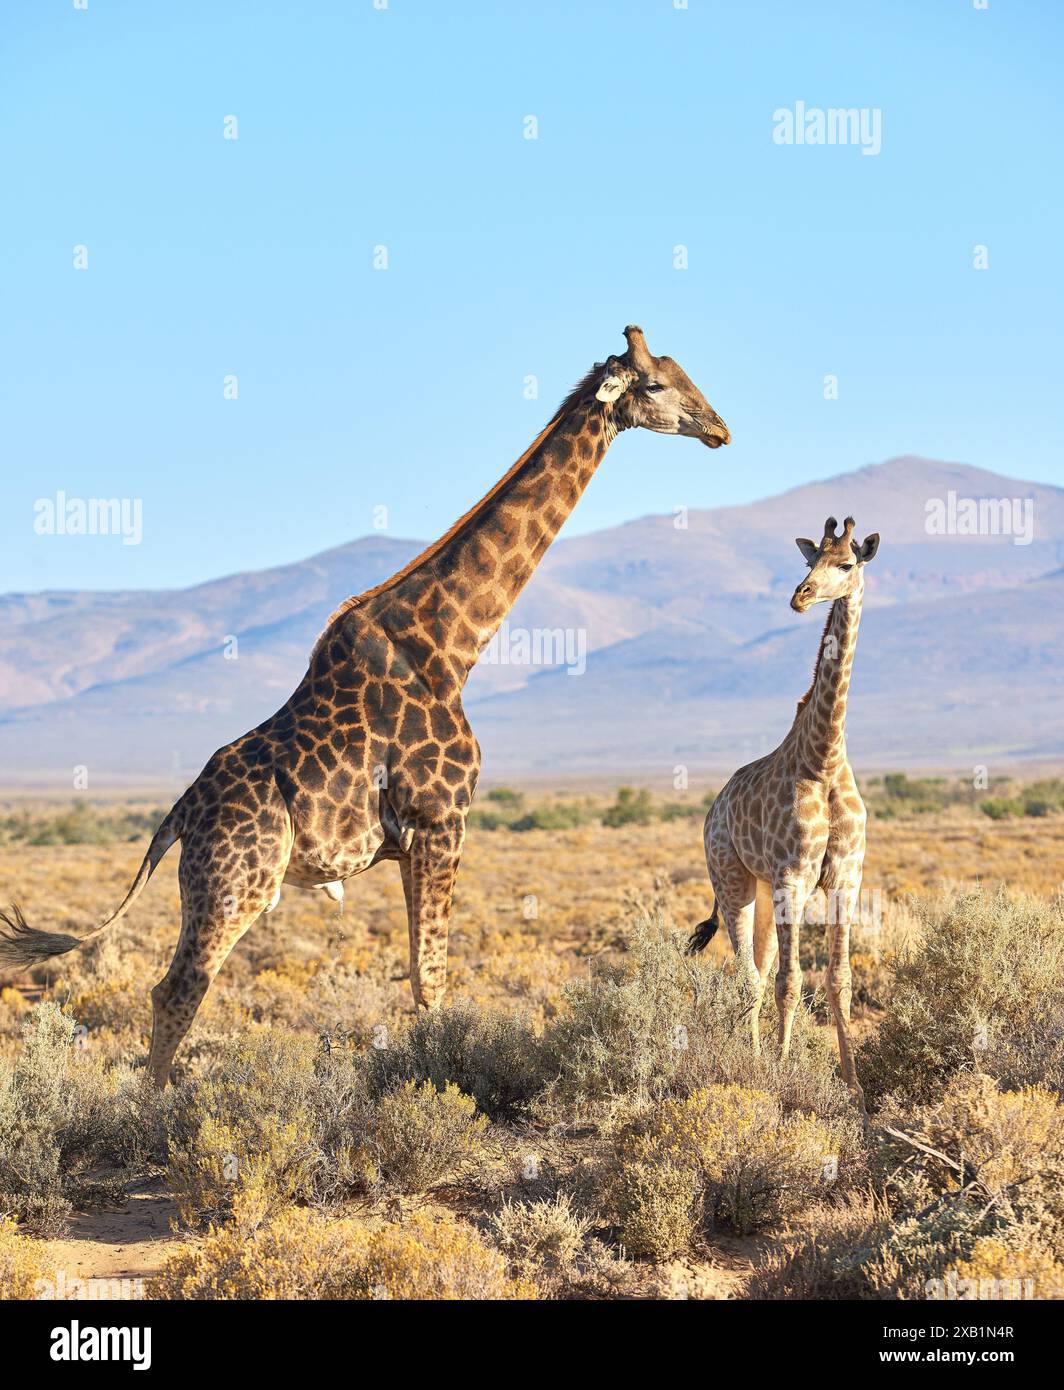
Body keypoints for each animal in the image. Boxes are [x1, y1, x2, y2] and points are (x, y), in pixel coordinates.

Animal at [0, 325, 730, 1087]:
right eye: (655, 384)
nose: (720, 428)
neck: (450, 647)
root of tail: (178, 814)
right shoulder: (442, 820)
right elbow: (432, 978)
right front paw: (443, 1083)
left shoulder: (410, 841)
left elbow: (417, 975)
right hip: (236, 879)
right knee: (178, 989)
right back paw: (158, 1110)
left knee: (174, 988)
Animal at [687, 515, 879, 1101]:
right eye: (809, 560)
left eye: (847, 562)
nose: (801, 595)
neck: (824, 758)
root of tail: (714, 810)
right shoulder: (794, 876)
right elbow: (790, 982)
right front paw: (778, 1070)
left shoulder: (846, 878)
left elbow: (838, 980)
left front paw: (855, 1088)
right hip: (733, 878)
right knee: (748, 974)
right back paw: (751, 1063)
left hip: (764, 888)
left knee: (760, 962)